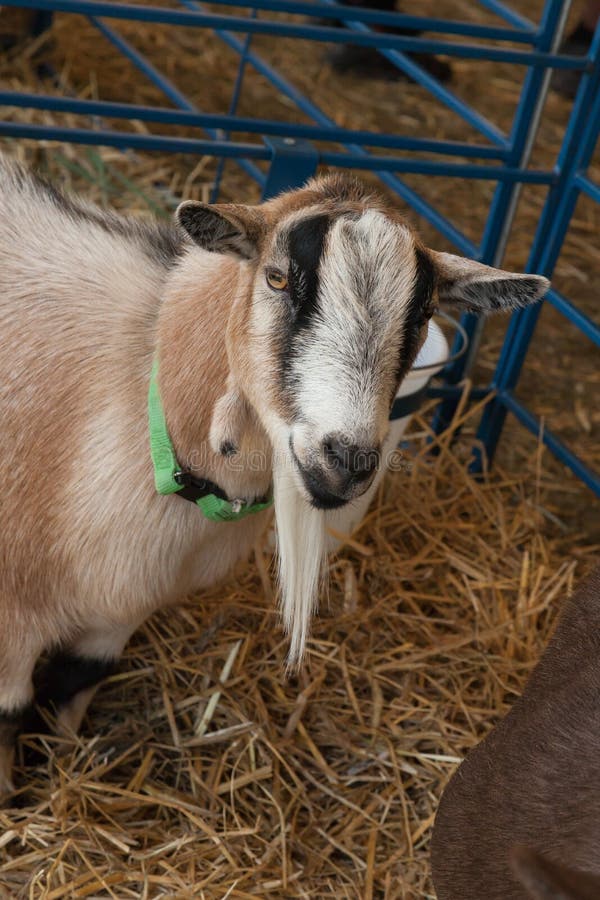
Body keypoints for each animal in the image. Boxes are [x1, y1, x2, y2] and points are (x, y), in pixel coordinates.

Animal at [0, 156, 548, 796]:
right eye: (278, 278)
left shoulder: (119, 615)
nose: (346, 460)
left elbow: (73, 686)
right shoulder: (13, 619)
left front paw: (66, 773)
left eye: (425, 312)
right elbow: (10, 716)